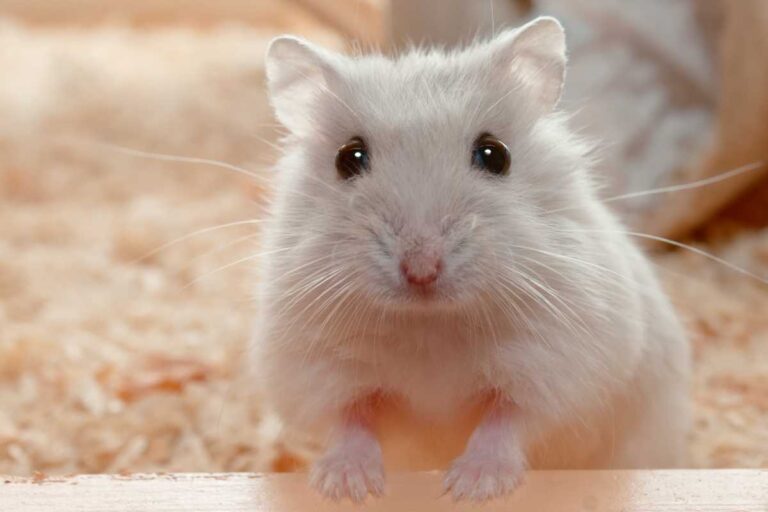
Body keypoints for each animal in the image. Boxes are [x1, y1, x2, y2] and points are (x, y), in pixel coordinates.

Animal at [252, 16, 690, 503]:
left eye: (494, 154)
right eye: (349, 158)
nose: (421, 269)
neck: (431, 325)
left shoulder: (559, 365)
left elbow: (508, 419)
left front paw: (470, 487)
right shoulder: (314, 368)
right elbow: (349, 419)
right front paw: (348, 487)